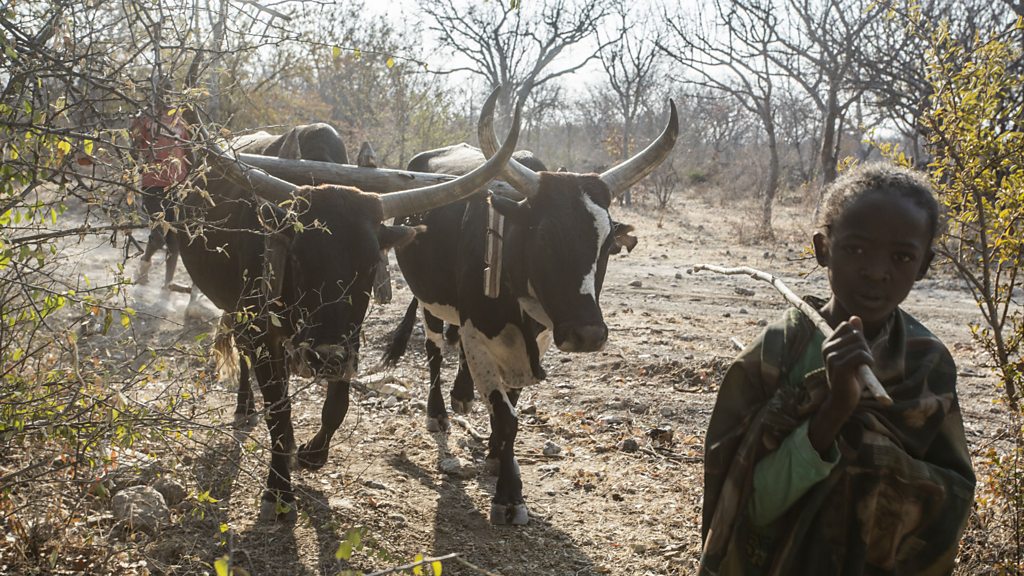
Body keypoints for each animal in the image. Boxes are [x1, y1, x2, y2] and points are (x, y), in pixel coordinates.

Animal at [175, 97, 522, 520]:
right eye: (299, 257)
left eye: (371, 265)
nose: (324, 357)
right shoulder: (262, 333)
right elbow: (279, 411)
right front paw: (278, 490)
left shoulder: (349, 339)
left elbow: (337, 405)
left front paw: (313, 453)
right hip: (236, 312)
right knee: (241, 355)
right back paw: (245, 406)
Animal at [387, 90, 677, 525]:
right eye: (543, 237)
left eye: (608, 243)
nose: (588, 334)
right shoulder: (477, 332)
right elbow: (507, 417)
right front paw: (509, 496)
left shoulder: (532, 342)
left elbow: (512, 403)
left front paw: (495, 455)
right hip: (430, 301)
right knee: (435, 349)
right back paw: (438, 412)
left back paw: (462, 395)